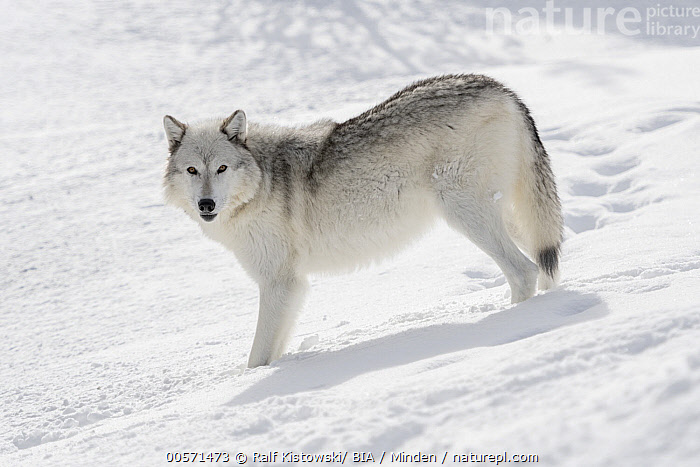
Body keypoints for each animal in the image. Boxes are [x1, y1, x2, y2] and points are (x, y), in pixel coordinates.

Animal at [162, 74, 563, 368]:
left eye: (222, 168)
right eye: (193, 170)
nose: (206, 204)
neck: (263, 180)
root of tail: (501, 89)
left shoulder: (280, 283)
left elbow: (257, 357)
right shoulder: (292, 287)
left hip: (465, 213)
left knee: (524, 271)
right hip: (510, 219)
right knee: (543, 264)